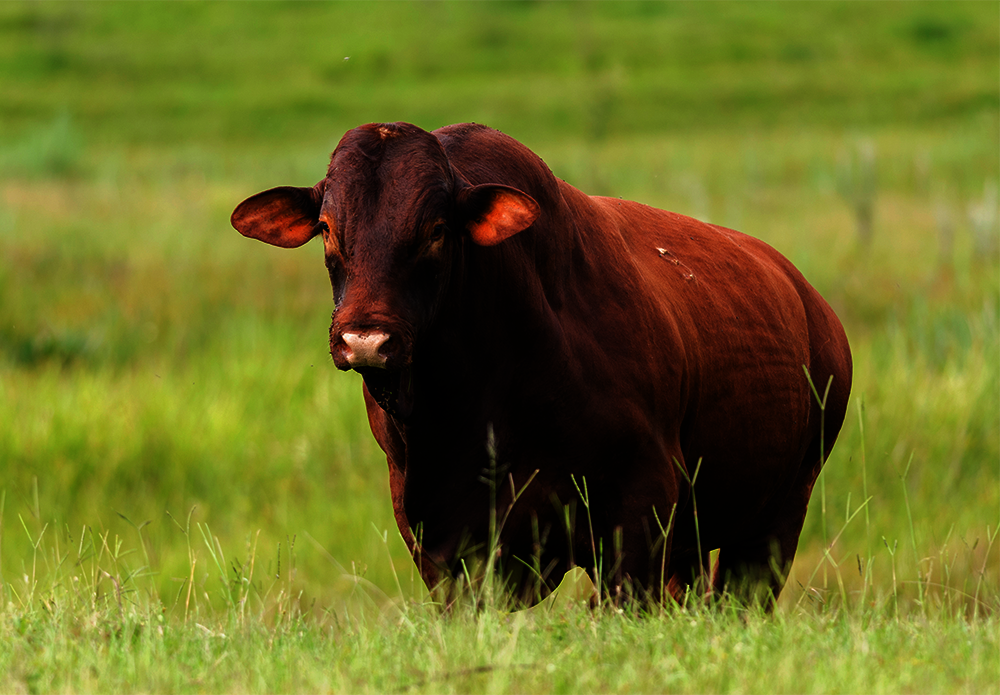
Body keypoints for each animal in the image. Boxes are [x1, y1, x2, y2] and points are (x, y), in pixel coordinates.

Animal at [231, 122, 852, 607]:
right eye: (327, 229)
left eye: (436, 231)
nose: (365, 338)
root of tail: (811, 302)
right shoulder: (435, 529)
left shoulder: (642, 503)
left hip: (776, 517)